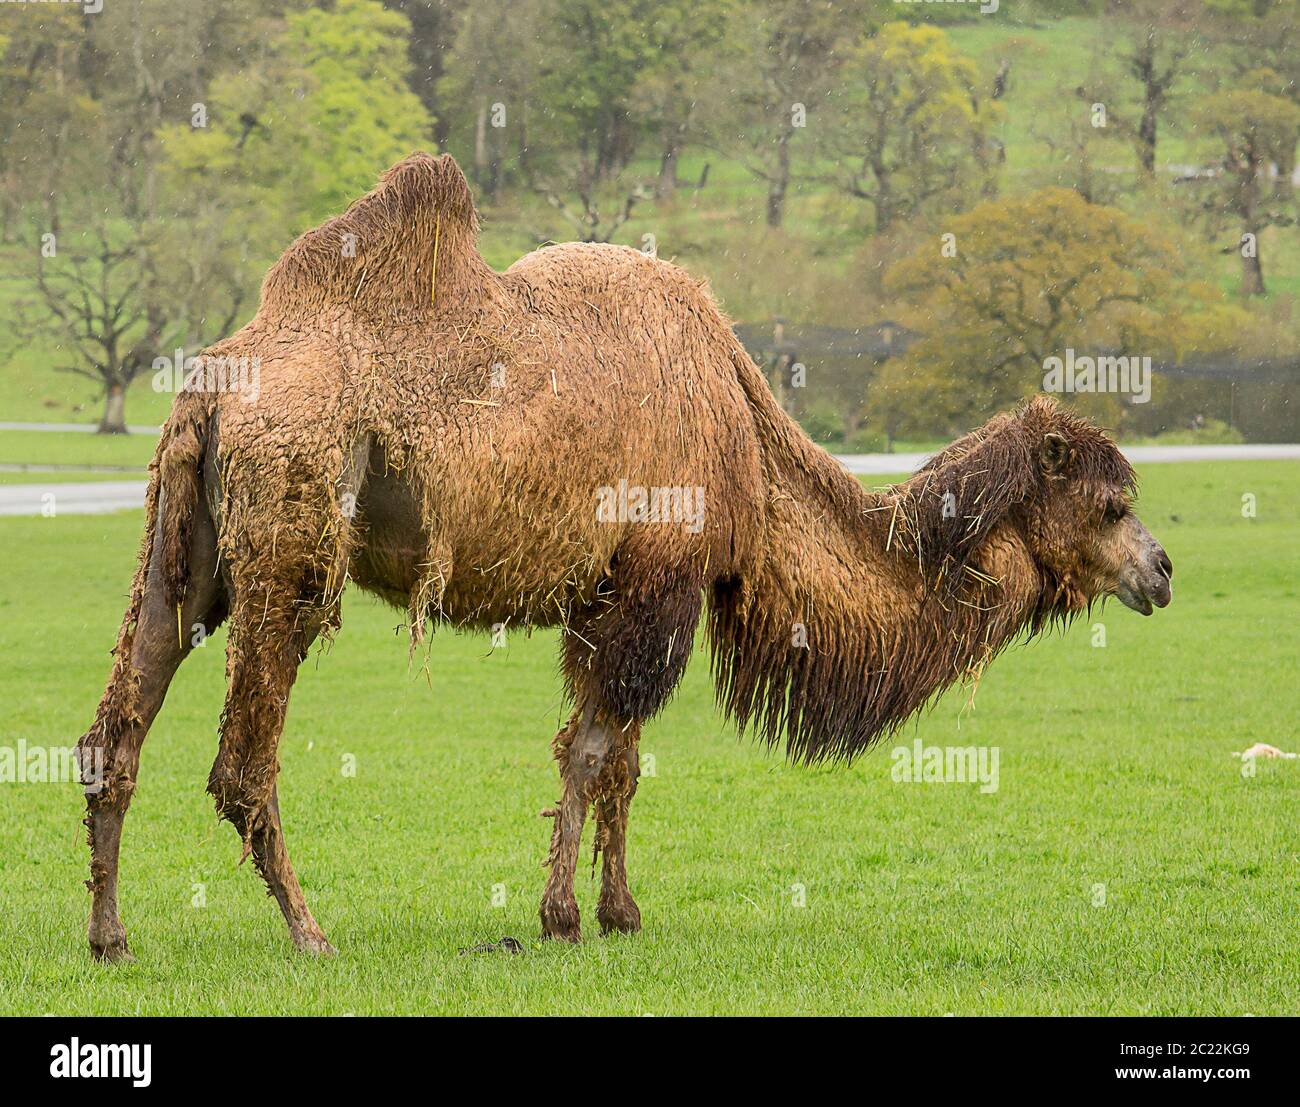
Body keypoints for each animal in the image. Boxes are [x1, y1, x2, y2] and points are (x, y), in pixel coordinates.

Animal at [75, 153, 1174, 960]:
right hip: (292, 530)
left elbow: (620, 759)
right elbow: (598, 750)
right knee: (241, 758)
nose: (1162, 570)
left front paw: (615, 912)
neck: (744, 434)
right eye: (1112, 503)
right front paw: (567, 918)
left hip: (185, 546)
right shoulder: (656, 581)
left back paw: (110, 935)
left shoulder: (618, 590)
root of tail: (209, 386)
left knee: (116, 725)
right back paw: (310, 933)